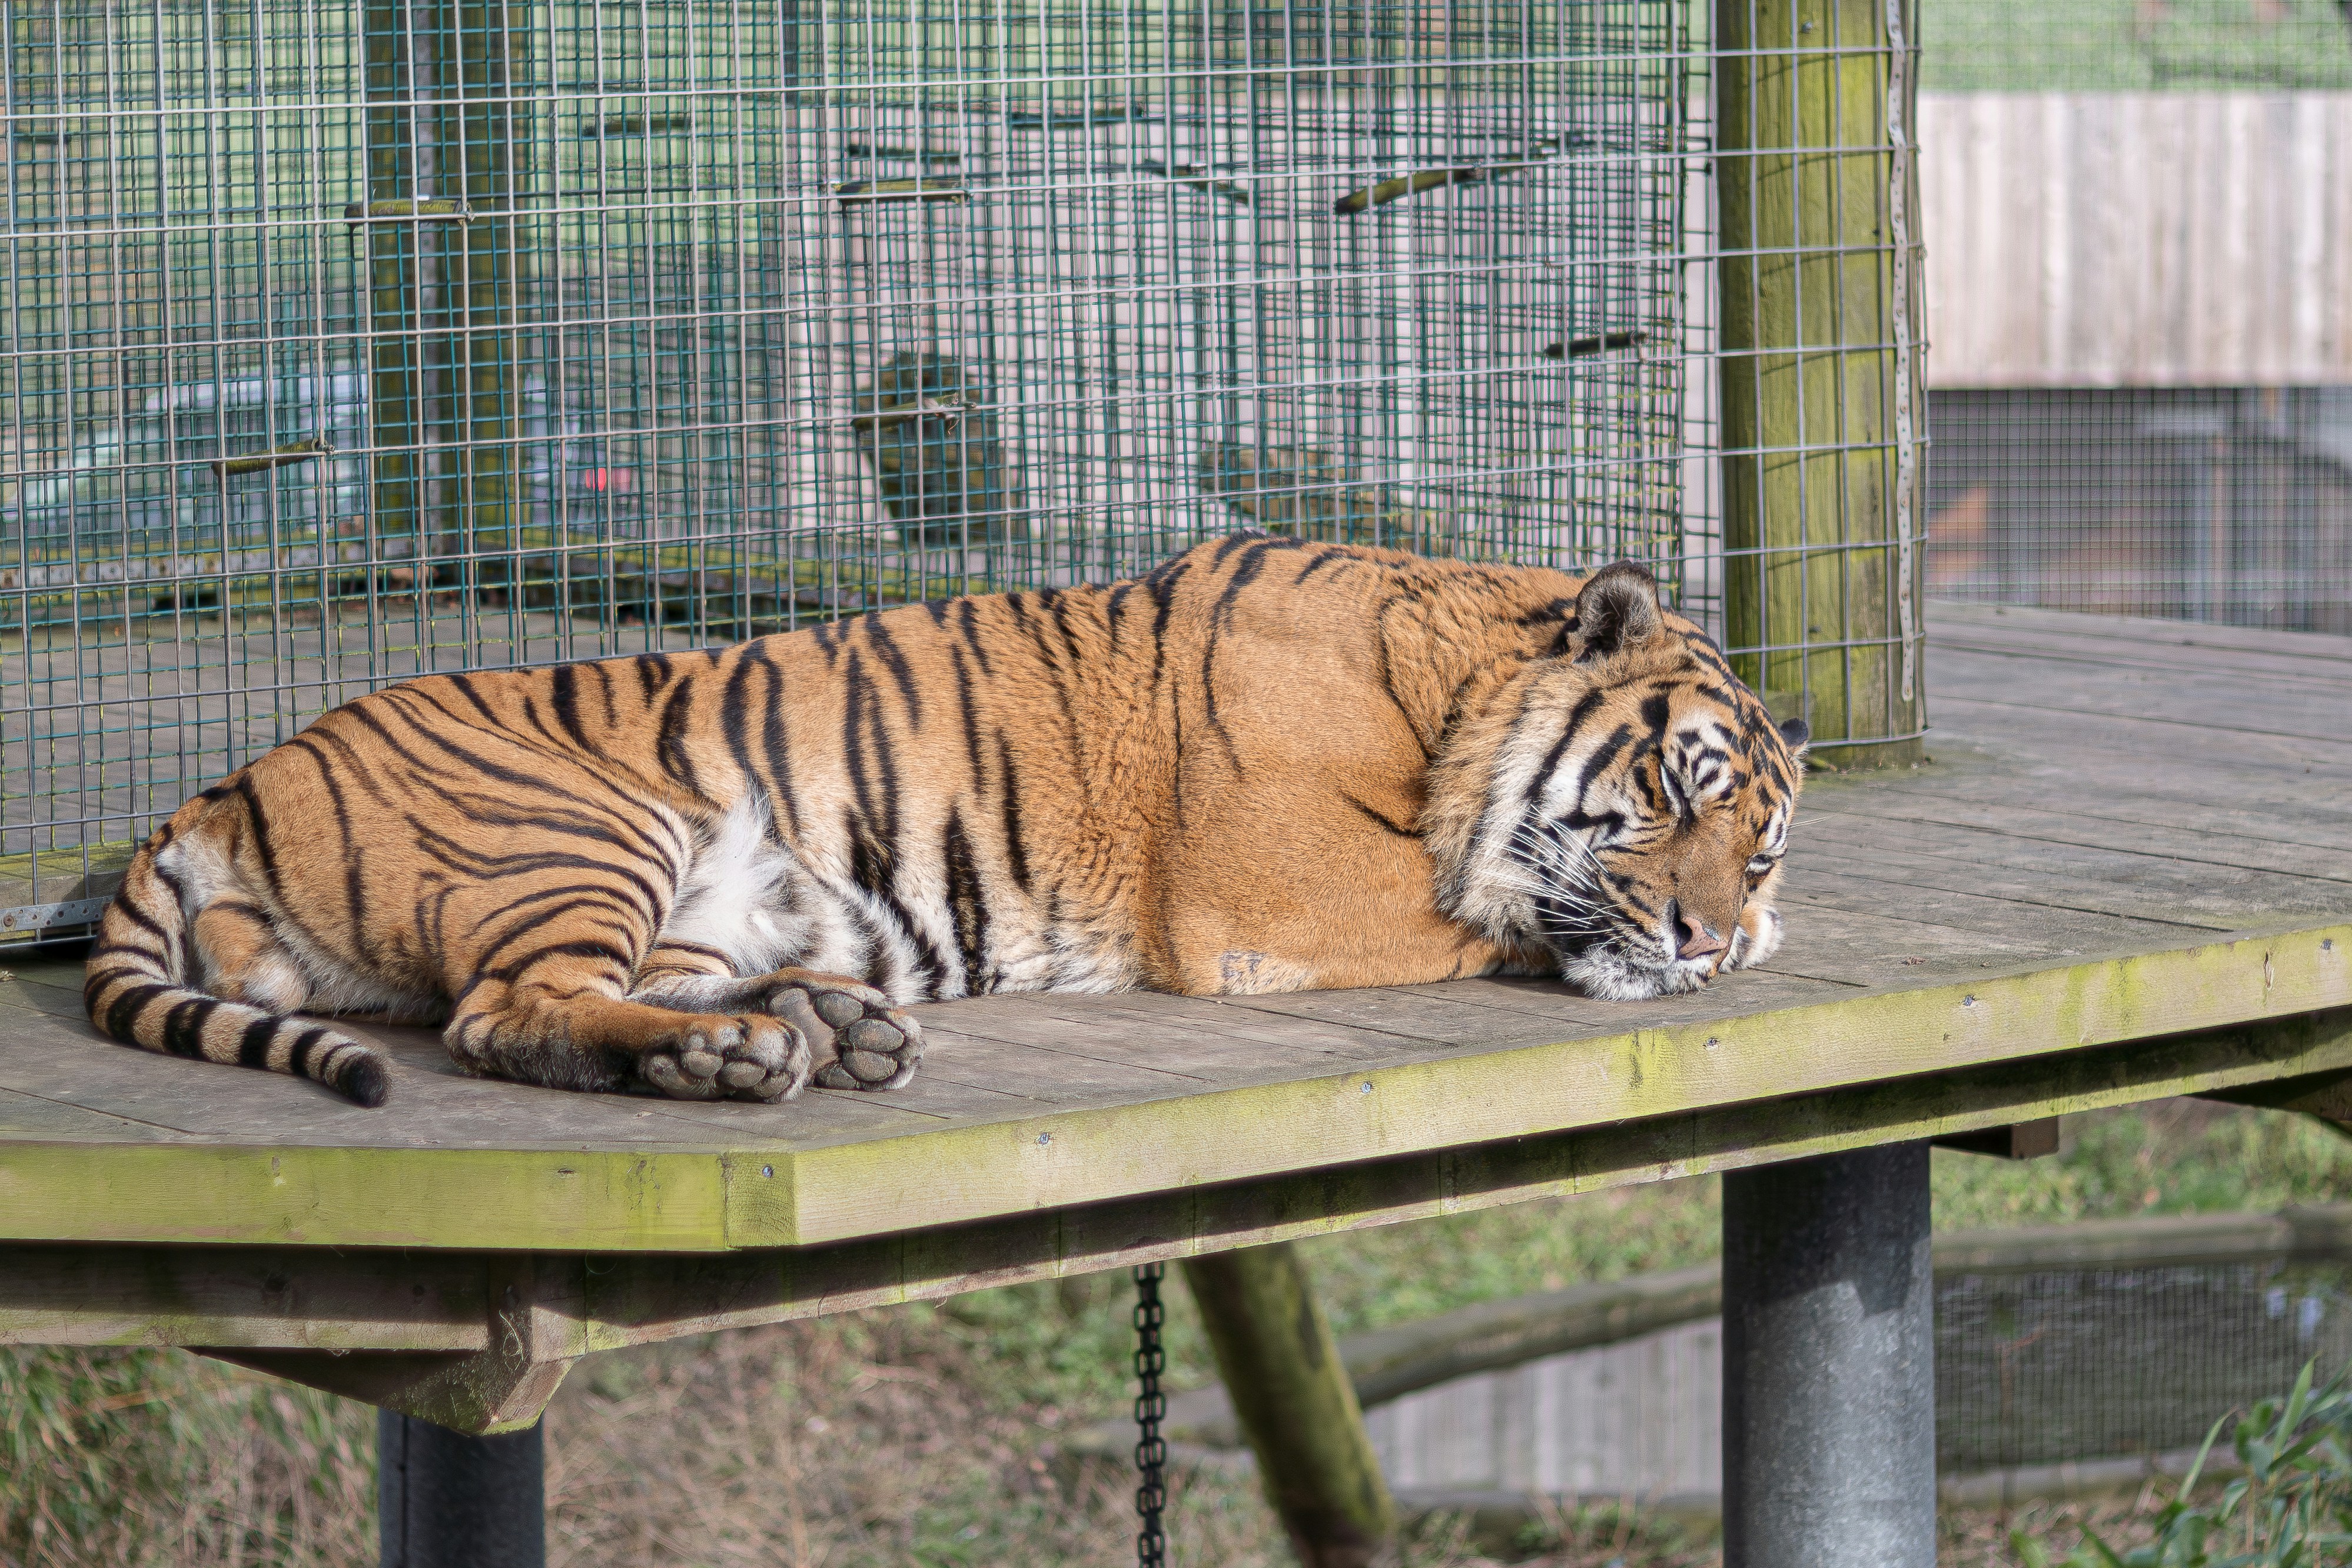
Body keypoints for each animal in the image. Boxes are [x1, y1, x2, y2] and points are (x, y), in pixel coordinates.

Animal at [84, 533, 1808, 1106]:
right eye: (1670, 790)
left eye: (1759, 846)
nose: (1705, 939)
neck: (1444, 692)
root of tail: (227, 782)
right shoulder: (1265, 891)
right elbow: (1480, 907)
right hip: (587, 827)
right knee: (505, 1014)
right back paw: (748, 1057)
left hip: (691, 897)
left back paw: (809, 1031)